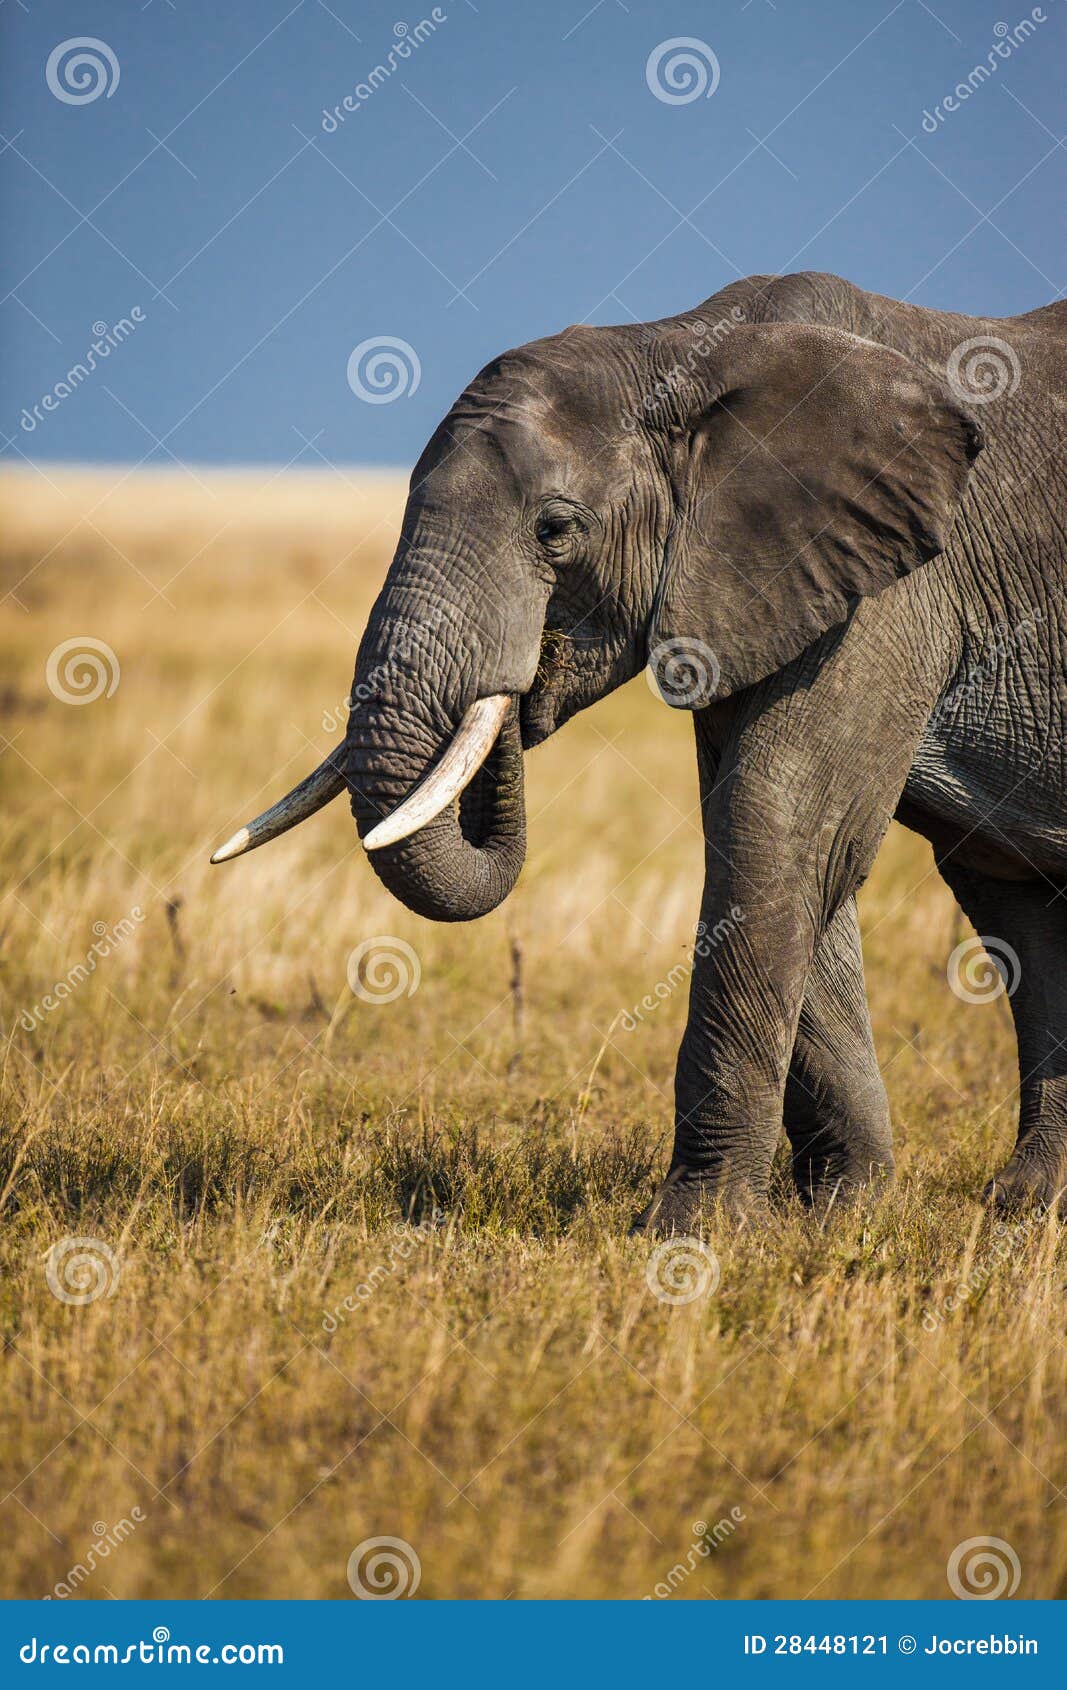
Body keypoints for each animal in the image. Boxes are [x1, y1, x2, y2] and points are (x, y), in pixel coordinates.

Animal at [211, 270, 1067, 1232]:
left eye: (554, 530)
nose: (524, 682)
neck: (677, 345)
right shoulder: (760, 582)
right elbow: (793, 852)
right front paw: (838, 1216)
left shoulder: (894, 588)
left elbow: (776, 824)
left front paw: (696, 1233)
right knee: (1016, 901)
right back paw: (1026, 1207)